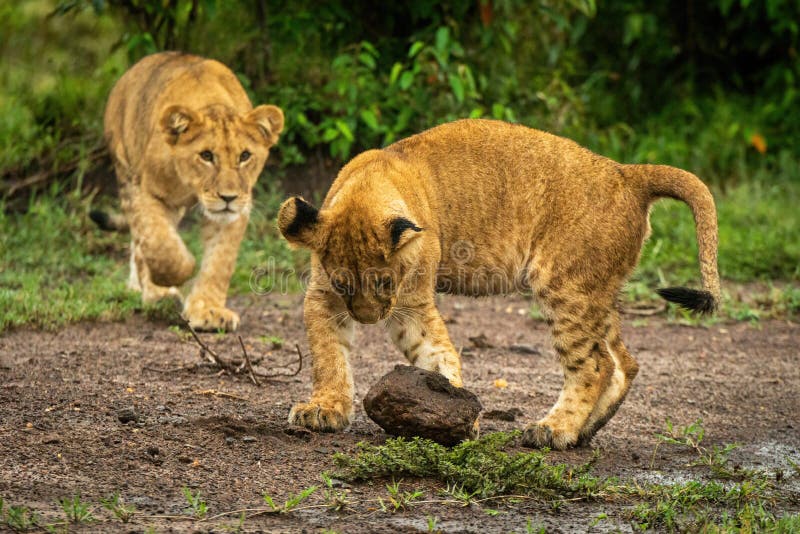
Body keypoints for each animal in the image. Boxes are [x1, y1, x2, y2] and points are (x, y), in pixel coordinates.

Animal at [91, 52, 284, 331]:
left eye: (245, 156)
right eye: (206, 156)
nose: (228, 197)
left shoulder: (236, 211)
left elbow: (219, 262)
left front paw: (208, 311)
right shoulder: (148, 192)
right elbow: (160, 246)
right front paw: (181, 272)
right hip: (126, 171)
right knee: (141, 239)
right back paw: (156, 293)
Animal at [277, 119, 720, 449]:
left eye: (385, 280)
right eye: (343, 284)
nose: (368, 320)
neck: (370, 187)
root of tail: (626, 174)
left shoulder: (412, 302)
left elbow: (433, 350)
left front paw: (456, 416)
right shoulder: (324, 297)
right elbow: (330, 356)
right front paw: (325, 408)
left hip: (566, 287)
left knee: (595, 364)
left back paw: (554, 430)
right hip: (598, 291)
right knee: (623, 362)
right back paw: (584, 431)